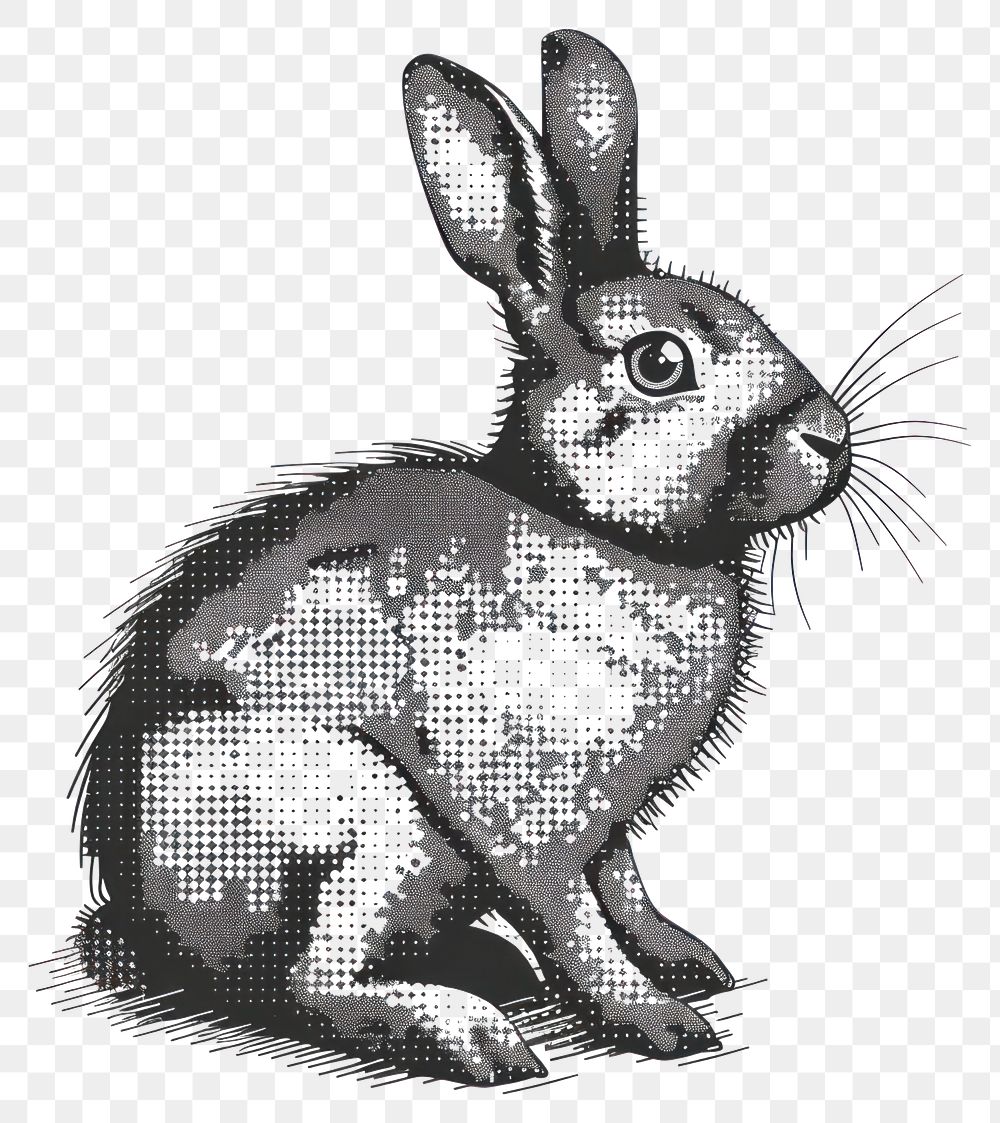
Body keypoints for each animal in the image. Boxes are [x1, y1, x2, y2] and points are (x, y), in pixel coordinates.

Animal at [74, 29, 854, 1085]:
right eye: (659, 363)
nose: (830, 439)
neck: (594, 527)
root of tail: (145, 917)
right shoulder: (527, 814)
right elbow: (575, 920)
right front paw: (660, 1022)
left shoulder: (606, 823)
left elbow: (626, 890)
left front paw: (689, 960)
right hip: (366, 820)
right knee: (309, 982)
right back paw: (474, 1035)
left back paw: (487, 970)